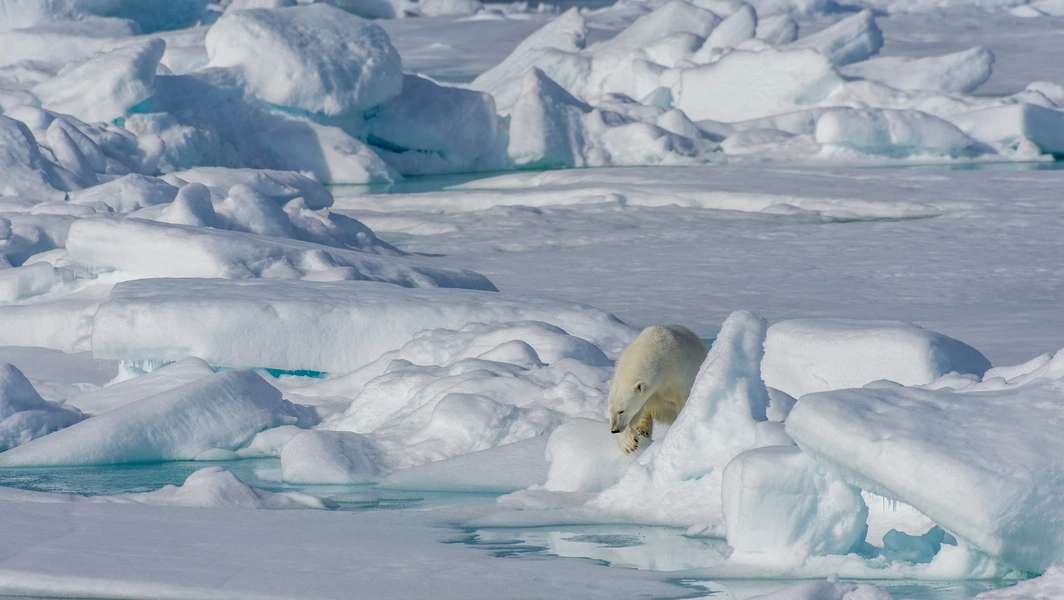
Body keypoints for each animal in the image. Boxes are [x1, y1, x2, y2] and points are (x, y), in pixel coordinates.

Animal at [608, 324, 708, 454]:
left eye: (621, 410)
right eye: (610, 410)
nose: (614, 430)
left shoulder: (679, 376)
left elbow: (683, 401)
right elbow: (637, 411)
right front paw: (628, 443)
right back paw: (642, 431)